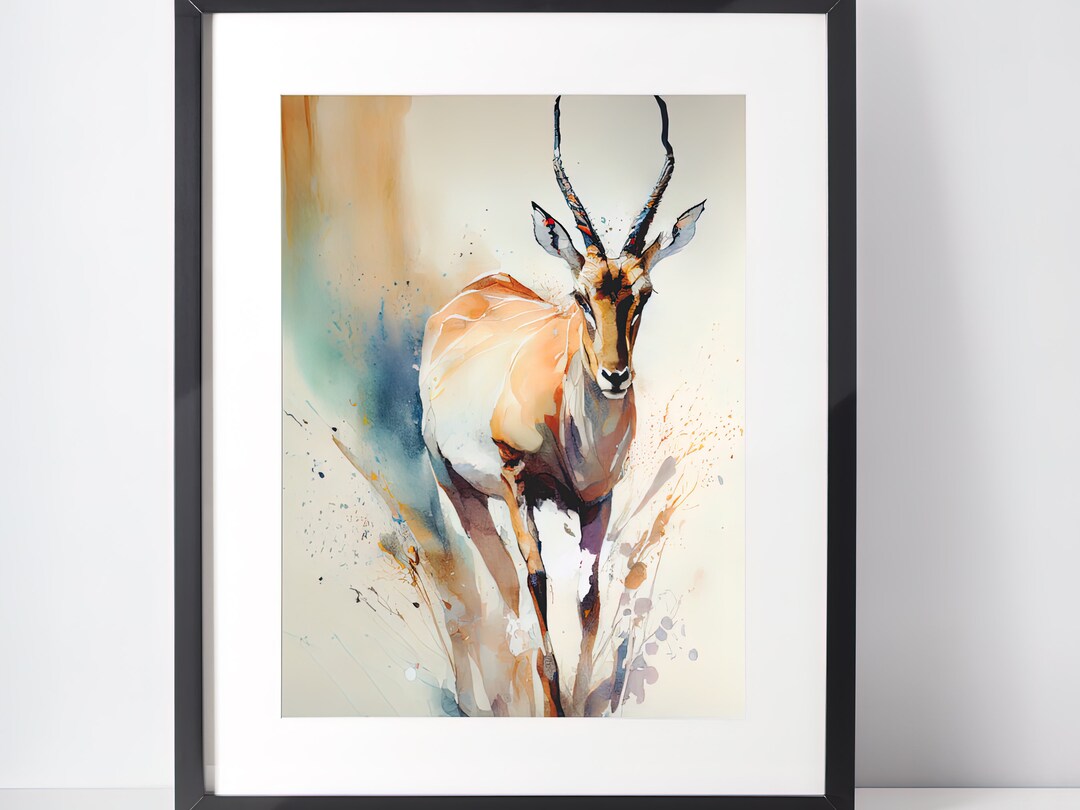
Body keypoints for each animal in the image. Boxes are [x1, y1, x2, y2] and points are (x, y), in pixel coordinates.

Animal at [419, 96, 705, 716]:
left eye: (643, 294)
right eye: (581, 294)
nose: (615, 375)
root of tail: (473, 292)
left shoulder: (598, 500)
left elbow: (589, 598)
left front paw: (576, 699)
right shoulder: (515, 481)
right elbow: (538, 581)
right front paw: (551, 701)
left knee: (502, 582)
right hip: (459, 485)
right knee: (492, 581)